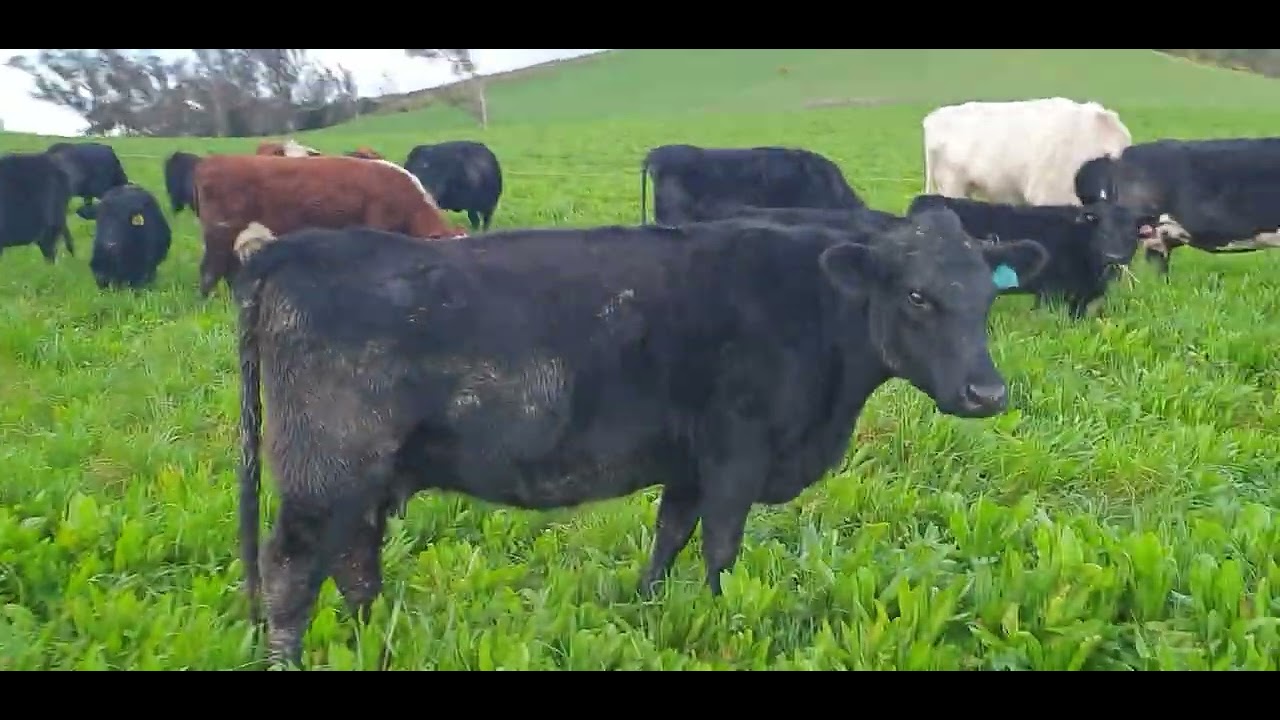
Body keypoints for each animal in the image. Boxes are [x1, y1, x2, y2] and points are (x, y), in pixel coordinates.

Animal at [230, 207, 1049, 666]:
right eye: (917, 296)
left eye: (988, 297)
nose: (987, 393)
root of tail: (292, 249)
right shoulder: (737, 453)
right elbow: (720, 547)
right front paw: (718, 619)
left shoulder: (690, 461)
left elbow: (669, 535)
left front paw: (650, 611)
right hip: (328, 468)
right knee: (292, 570)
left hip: (366, 475)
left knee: (355, 562)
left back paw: (377, 640)